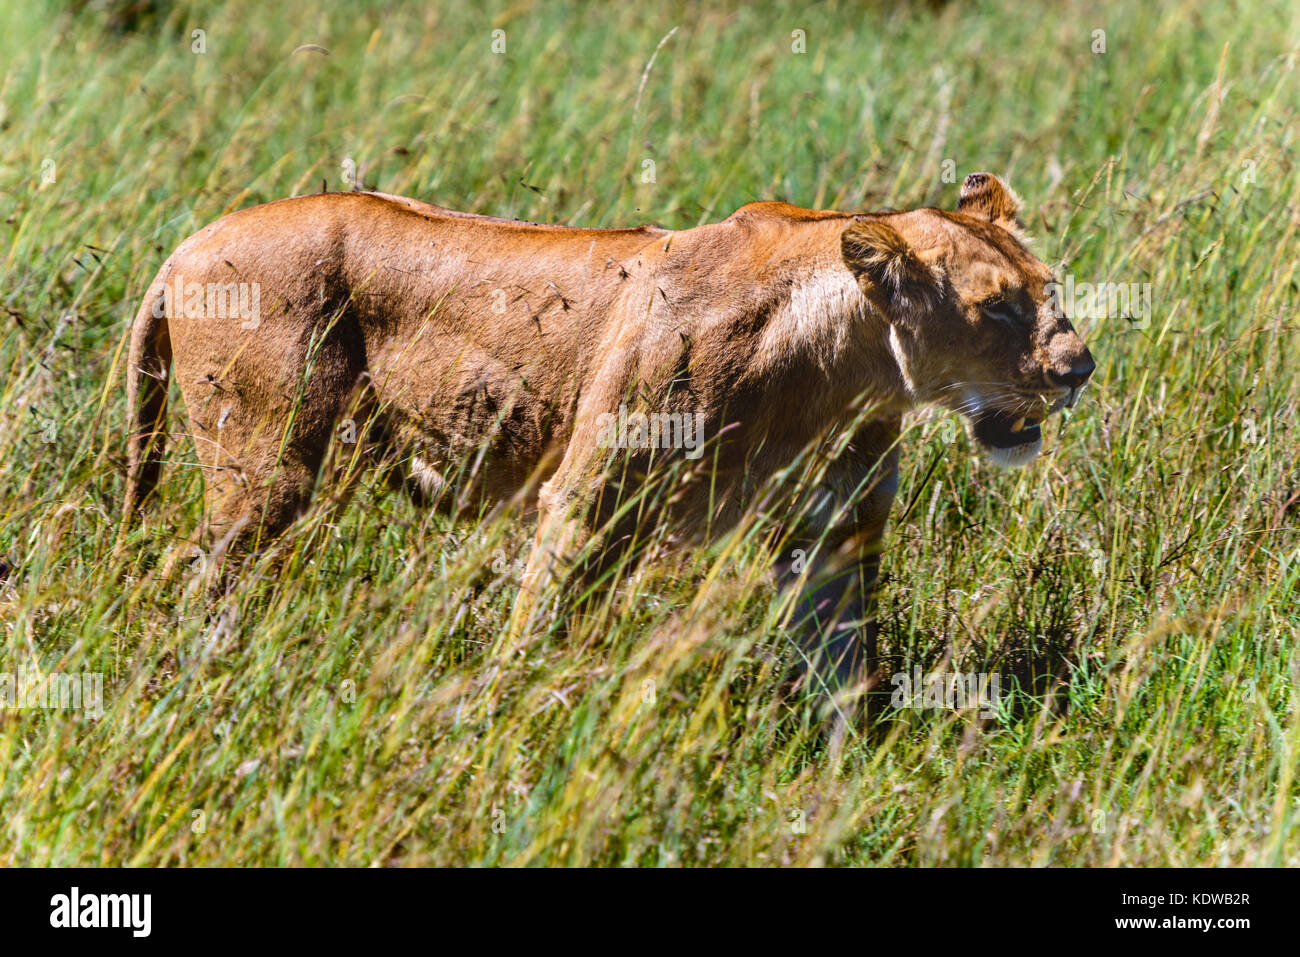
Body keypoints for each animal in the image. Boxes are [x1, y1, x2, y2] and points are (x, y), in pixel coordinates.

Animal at [122, 172, 1093, 703]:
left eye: (1048, 289)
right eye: (994, 308)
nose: (1079, 367)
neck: (843, 373)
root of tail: (184, 247)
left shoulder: (833, 535)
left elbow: (844, 669)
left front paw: (843, 774)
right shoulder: (585, 506)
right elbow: (533, 635)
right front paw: (502, 730)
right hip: (267, 465)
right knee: (191, 562)